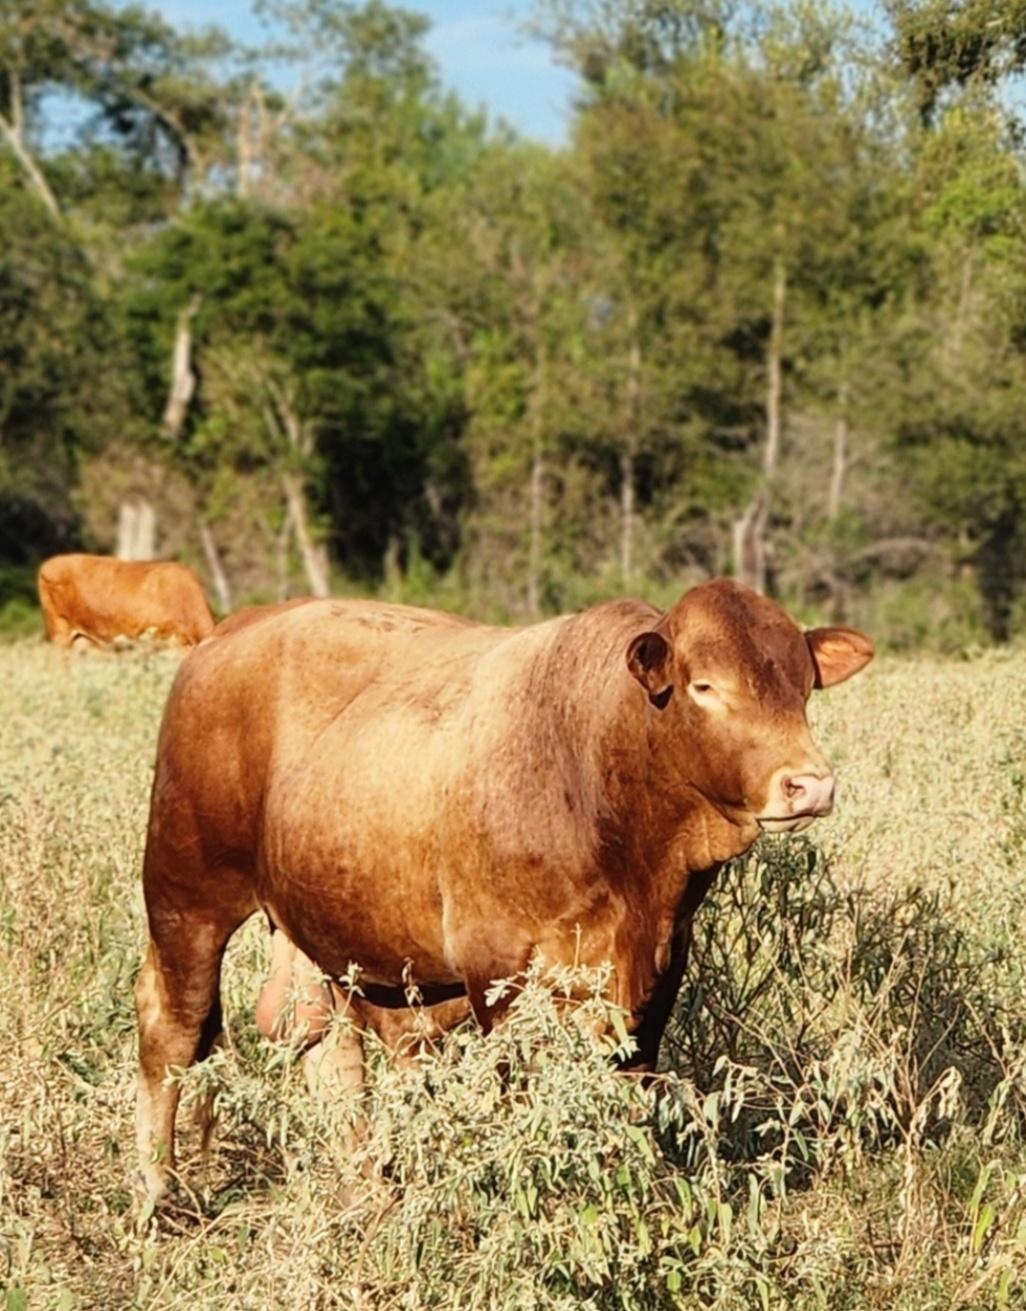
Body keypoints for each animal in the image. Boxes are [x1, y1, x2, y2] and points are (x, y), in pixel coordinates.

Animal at [134, 579, 873, 1201]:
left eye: (804, 687)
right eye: (705, 685)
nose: (809, 785)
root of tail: (232, 631)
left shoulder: (659, 969)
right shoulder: (499, 970)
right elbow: (524, 1095)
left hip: (323, 934)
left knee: (330, 1051)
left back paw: (365, 1195)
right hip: (185, 894)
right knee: (172, 1029)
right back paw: (159, 1195)